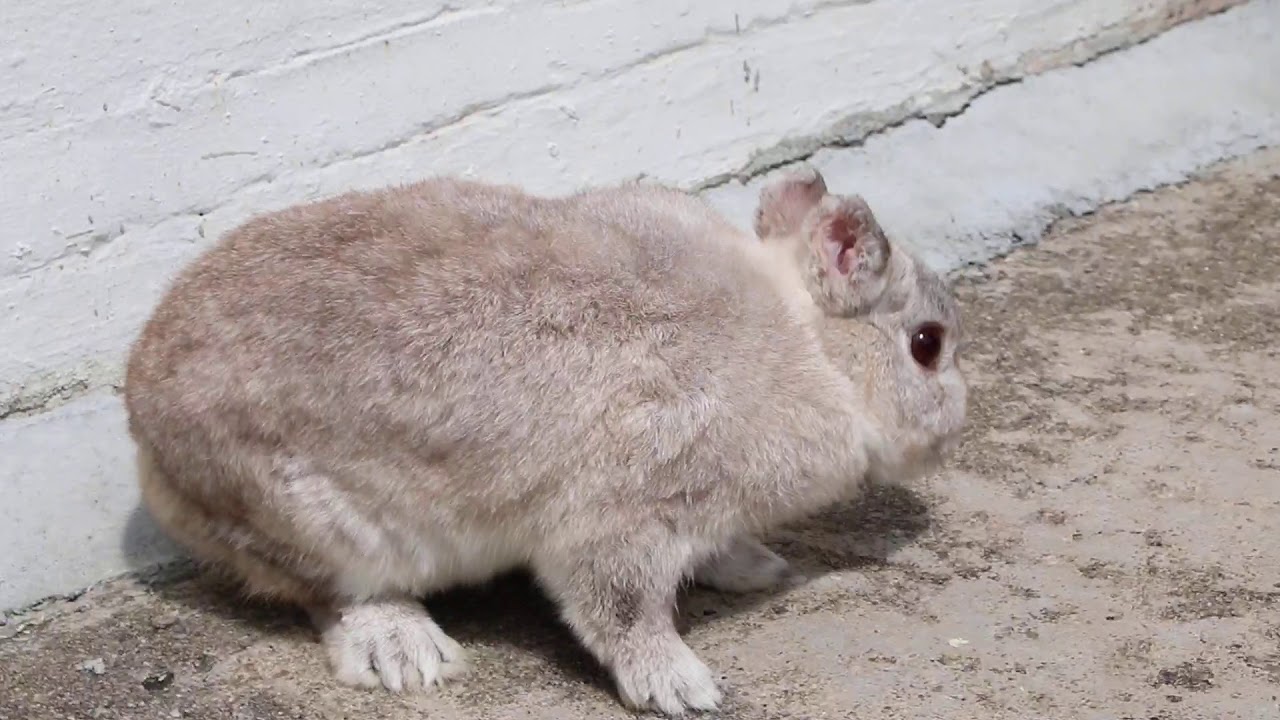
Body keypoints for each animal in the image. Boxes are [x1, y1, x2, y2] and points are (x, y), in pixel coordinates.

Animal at [123, 164, 967, 716]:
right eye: (927, 344)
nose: (955, 424)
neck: (807, 344)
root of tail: (144, 423)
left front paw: (756, 568)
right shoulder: (626, 511)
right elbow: (621, 608)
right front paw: (681, 688)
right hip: (324, 522)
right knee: (335, 593)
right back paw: (408, 652)